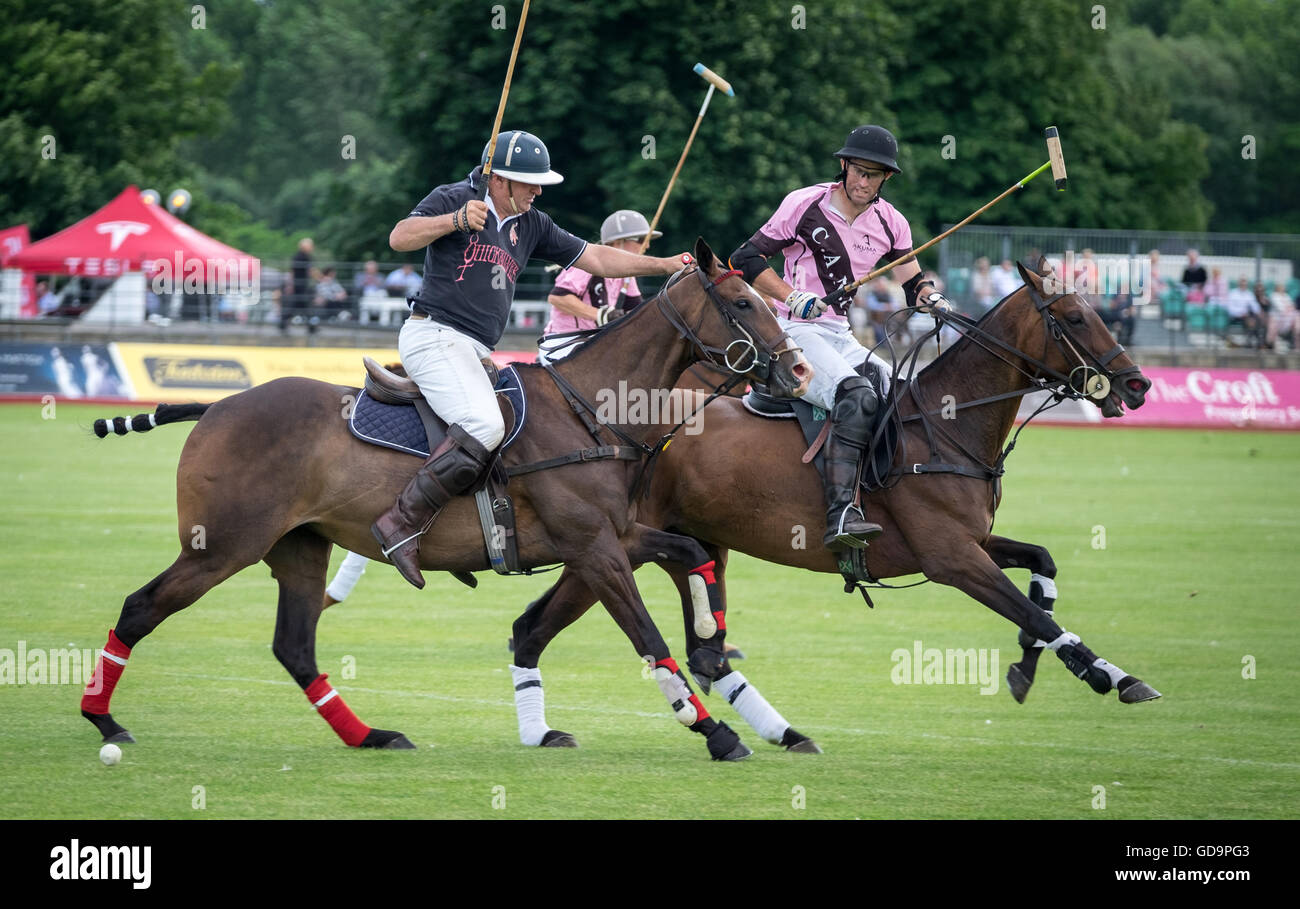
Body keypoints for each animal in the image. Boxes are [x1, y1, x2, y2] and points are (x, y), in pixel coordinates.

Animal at [76, 241, 806, 759]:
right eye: (743, 302)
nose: (798, 370)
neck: (593, 411)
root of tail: (217, 403)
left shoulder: (612, 536)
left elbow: (689, 552)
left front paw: (711, 637)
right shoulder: (595, 548)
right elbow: (649, 637)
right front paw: (713, 730)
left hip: (299, 547)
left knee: (295, 647)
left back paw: (371, 735)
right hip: (221, 545)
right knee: (141, 608)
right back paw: (103, 719)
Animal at [504, 260, 1159, 749]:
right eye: (1074, 317)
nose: (1139, 385)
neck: (945, 425)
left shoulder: (970, 540)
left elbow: (1043, 565)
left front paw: (1027, 666)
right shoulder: (950, 557)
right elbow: (1038, 615)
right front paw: (1115, 677)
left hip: (691, 542)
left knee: (689, 648)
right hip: (609, 545)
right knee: (533, 626)